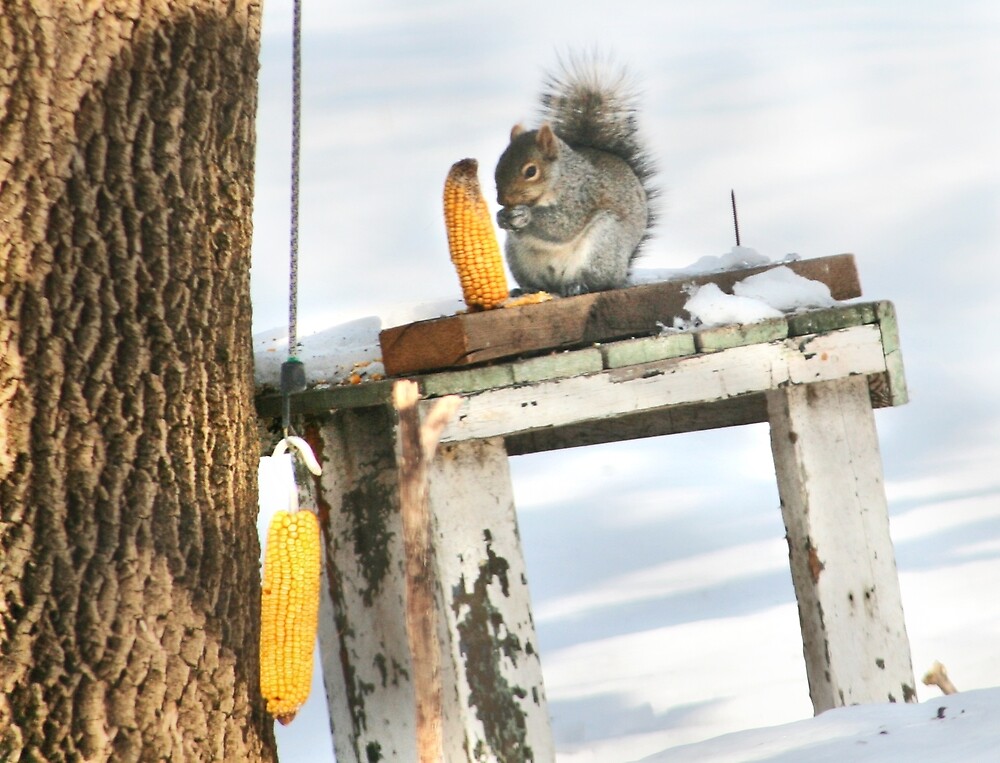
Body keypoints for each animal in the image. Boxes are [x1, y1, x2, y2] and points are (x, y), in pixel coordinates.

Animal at [494, 58, 657, 297]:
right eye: (499, 163)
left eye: (531, 171)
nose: (502, 201)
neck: (559, 179)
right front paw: (501, 217)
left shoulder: (582, 196)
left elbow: (564, 224)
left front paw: (524, 215)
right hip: (517, 256)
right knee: (541, 283)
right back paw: (529, 289)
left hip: (602, 244)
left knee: (598, 280)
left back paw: (579, 285)